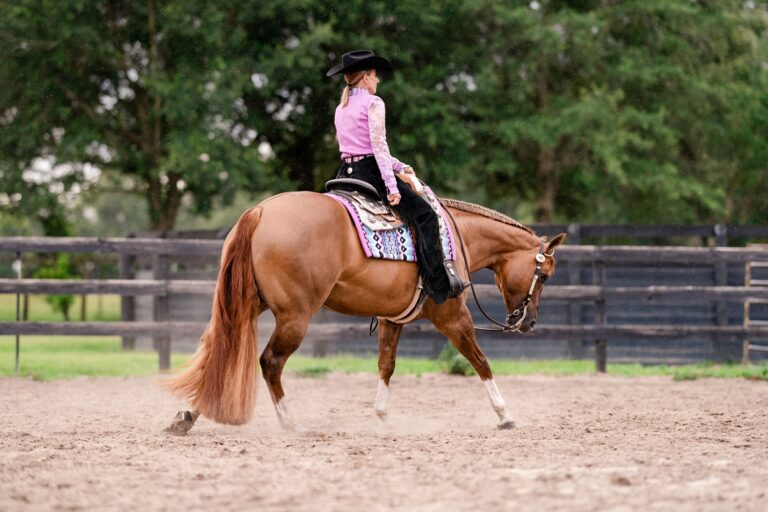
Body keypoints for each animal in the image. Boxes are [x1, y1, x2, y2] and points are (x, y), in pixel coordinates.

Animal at [163, 192, 566, 434]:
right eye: (545, 275)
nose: (528, 322)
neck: (455, 237)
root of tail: (260, 212)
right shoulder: (453, 317)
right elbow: (480, 360)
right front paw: (505, 414)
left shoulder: (391, 319)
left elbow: (386, 365)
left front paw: (383, 415)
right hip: (295, 317)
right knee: (270, 362)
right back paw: (290, 423)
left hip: (245, 305)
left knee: (221, 354)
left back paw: (188, 415)